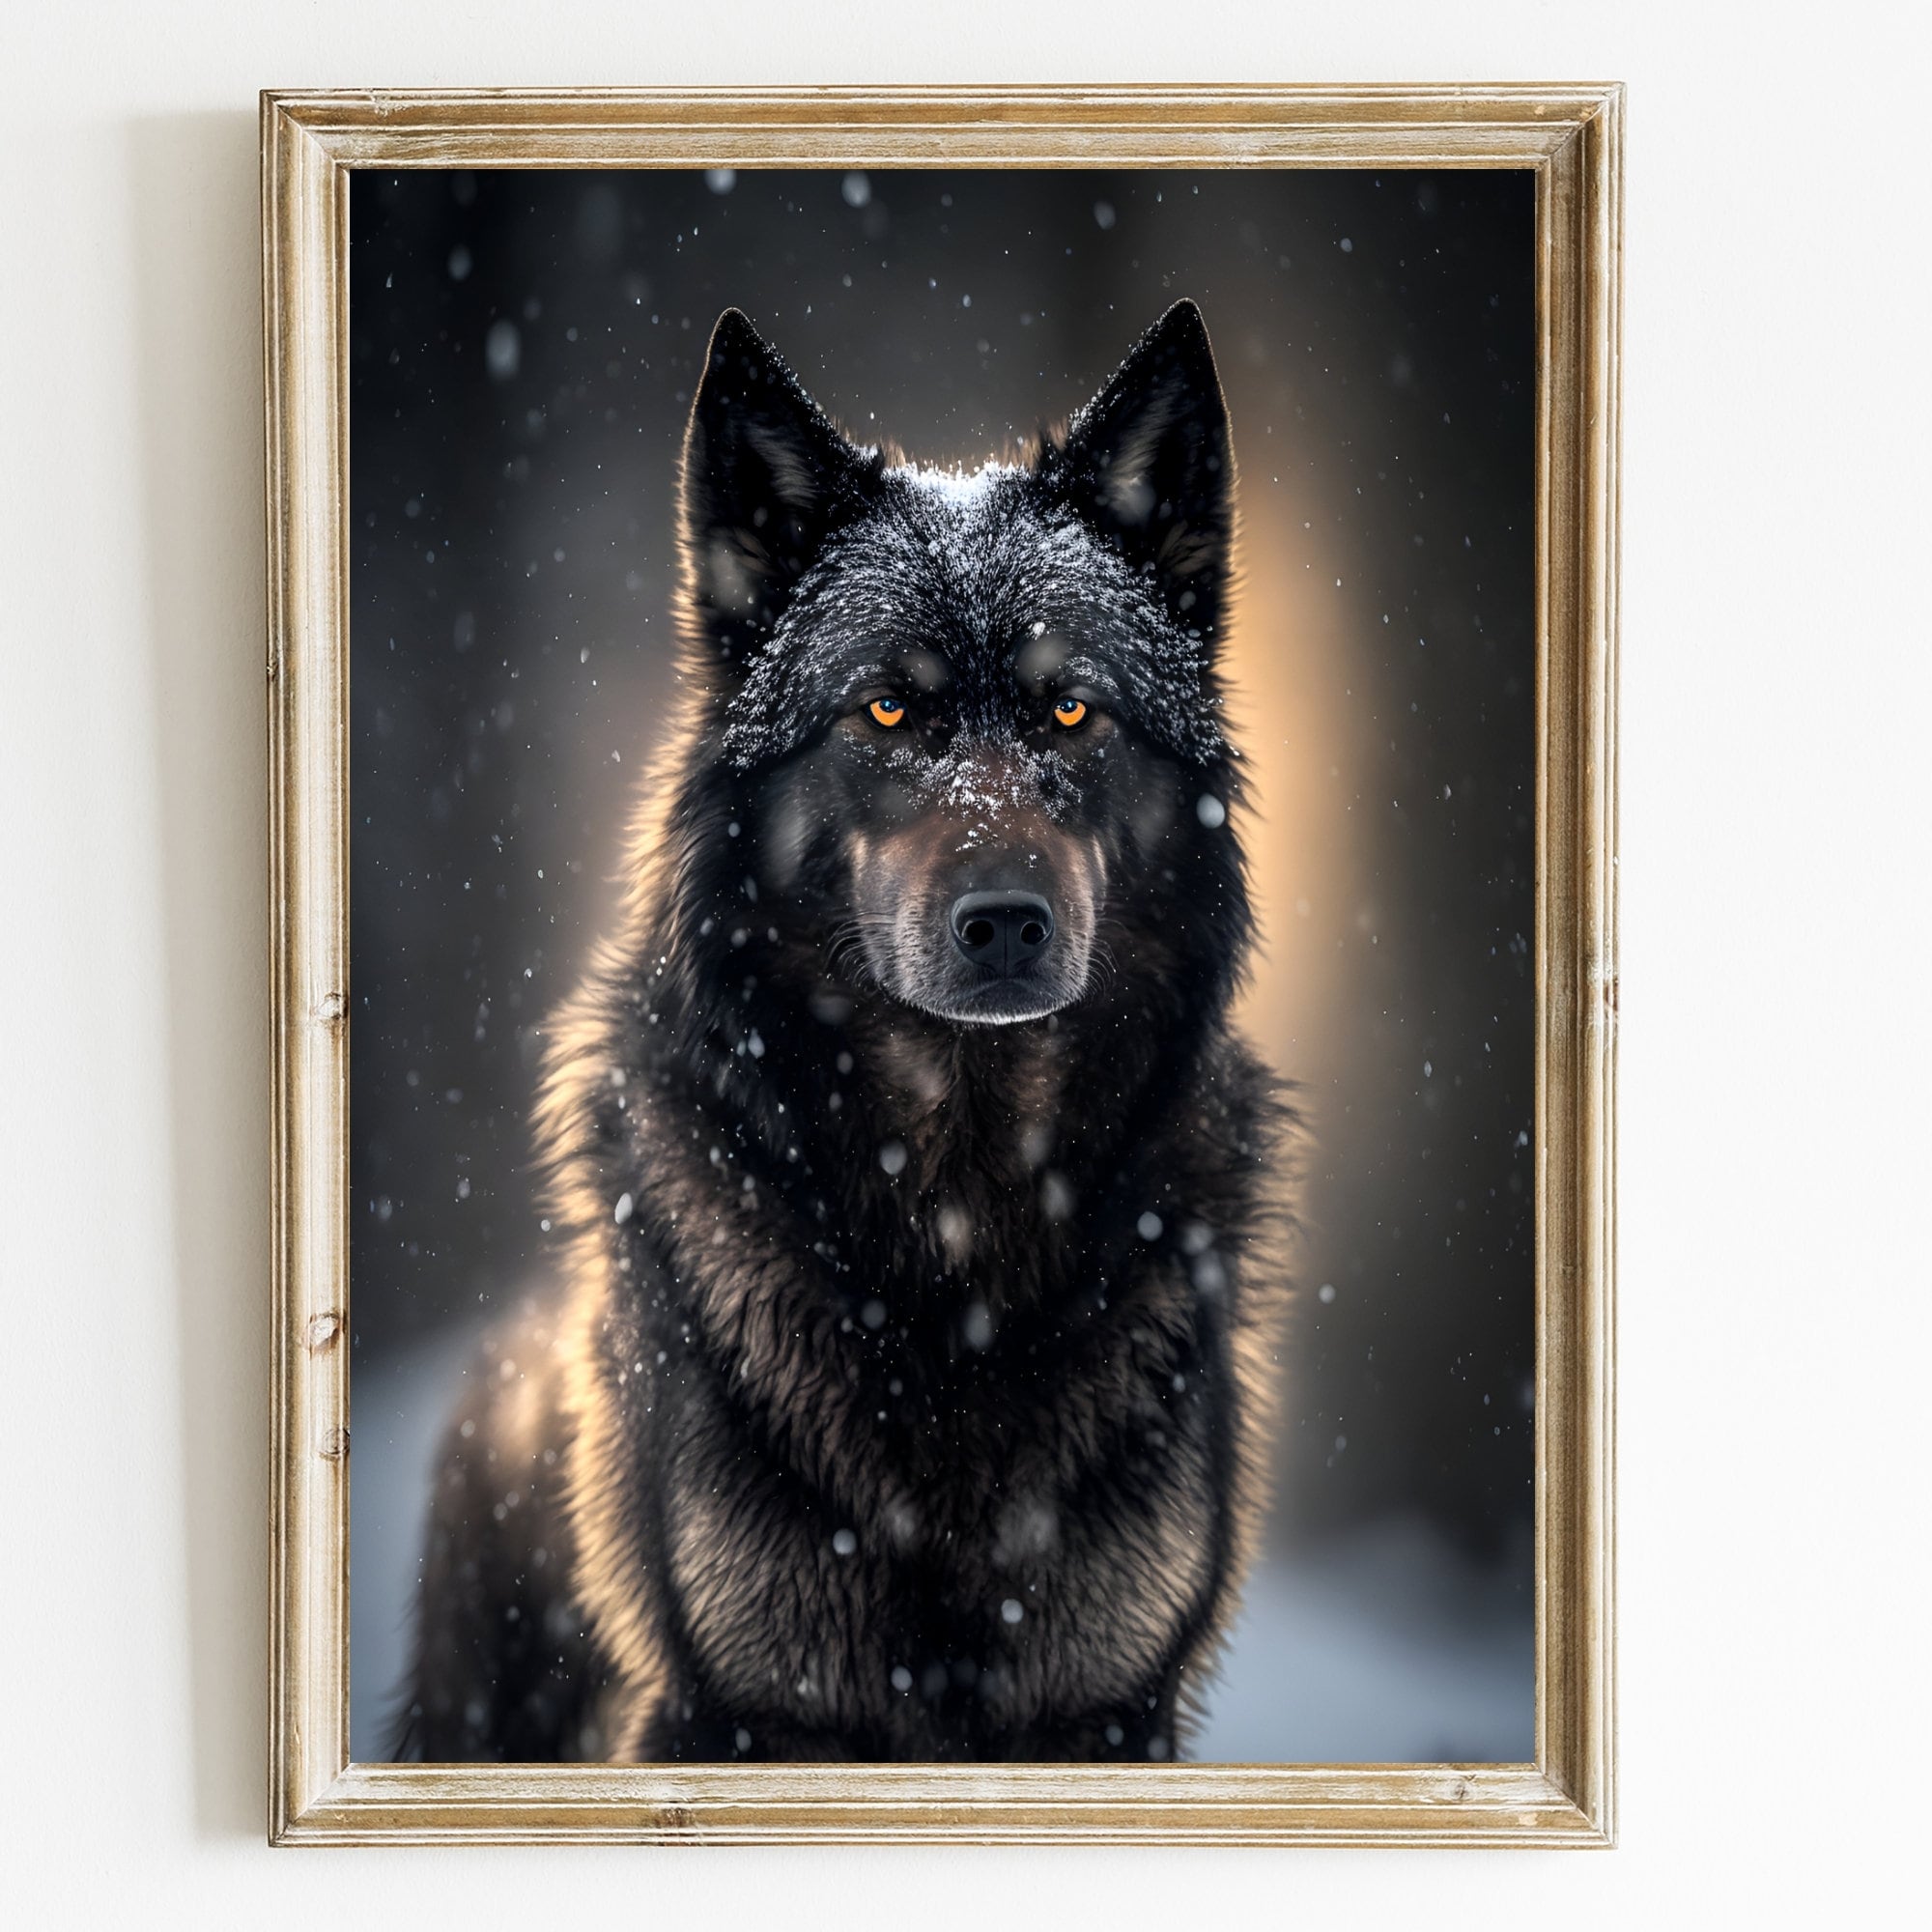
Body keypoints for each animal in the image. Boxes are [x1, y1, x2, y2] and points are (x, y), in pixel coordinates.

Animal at [397, 298, 1292, 1764]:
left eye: (1070, 708)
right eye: (885, 707)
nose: (1005, 923)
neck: (963, 1222)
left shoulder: (1106, 1711)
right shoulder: (743, 1714)